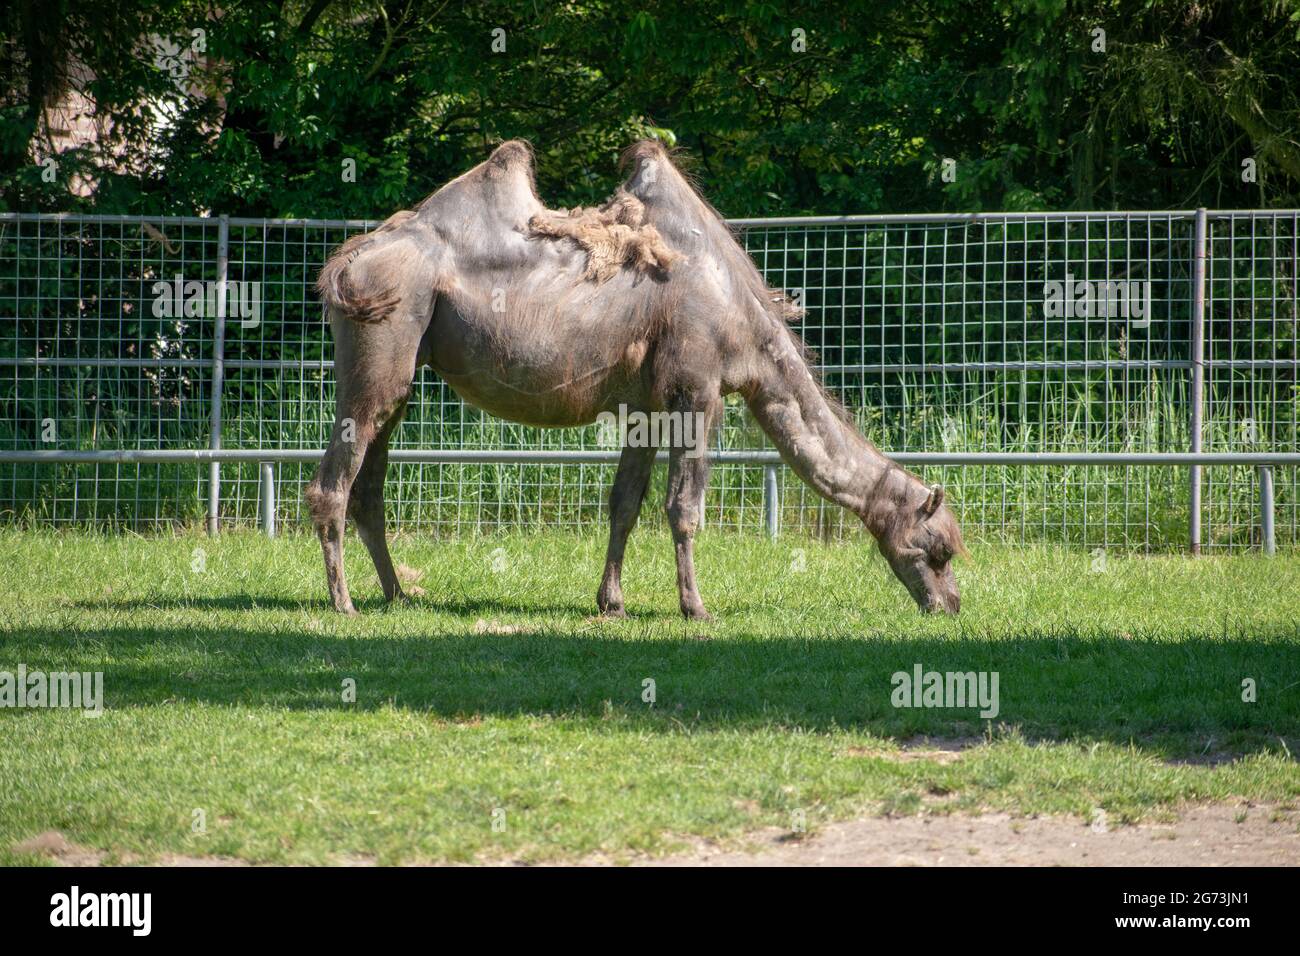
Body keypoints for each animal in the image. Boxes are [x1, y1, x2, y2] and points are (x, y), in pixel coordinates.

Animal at [306, 140, 966, 619]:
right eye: (935, 547)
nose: (951, 605)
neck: (744, 320)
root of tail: (345, 262)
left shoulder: (645, 405)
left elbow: (624, 503)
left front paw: (612, 604)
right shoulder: (698, 390)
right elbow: (684, 507)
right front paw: (696, 608)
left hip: (402, 372)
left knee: (369, 485)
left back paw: (397, 594)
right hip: (380, 345)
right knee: (332, 482)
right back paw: (344, 604)